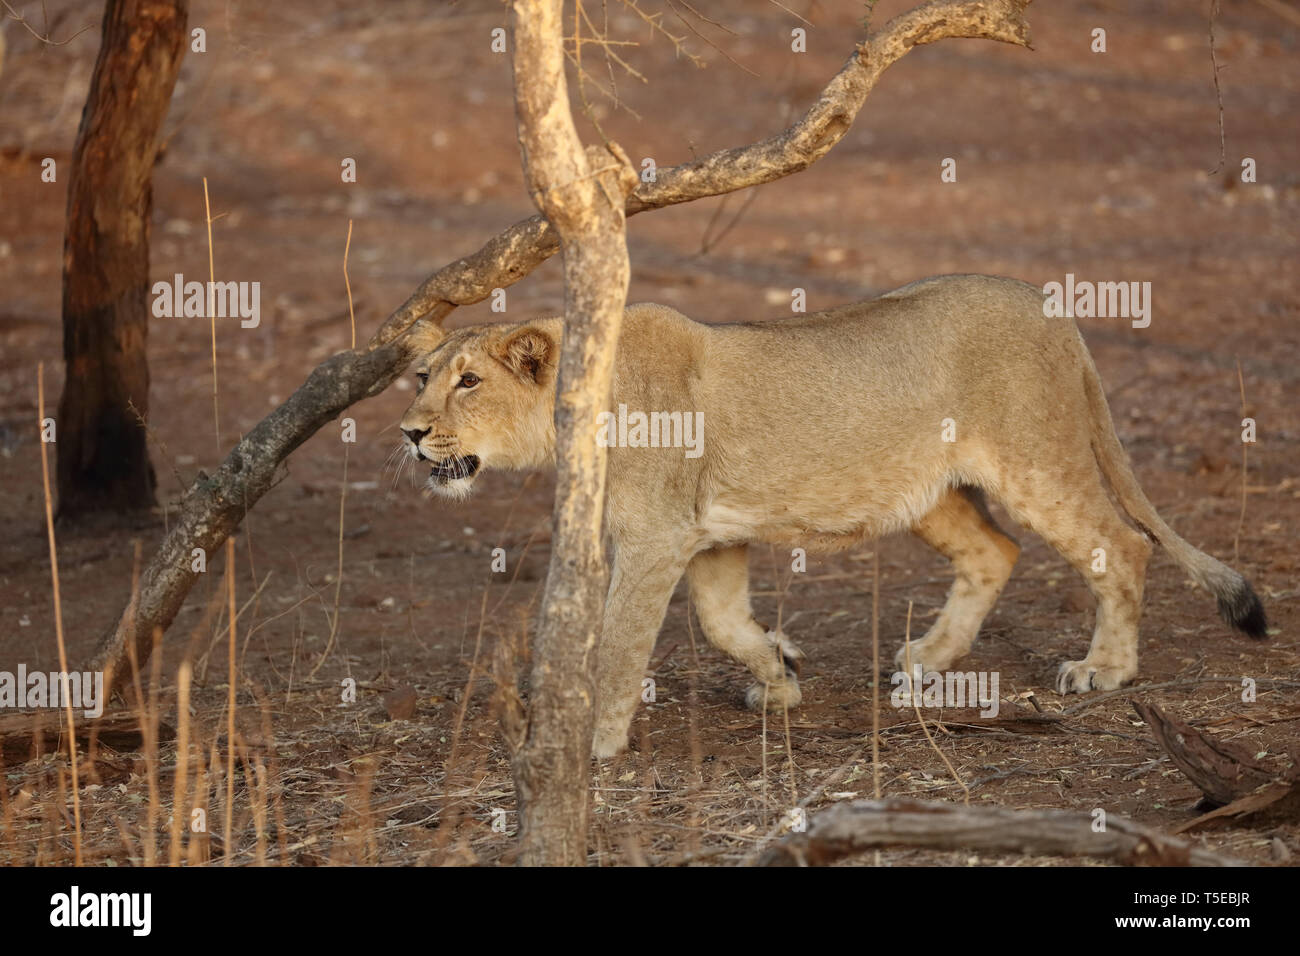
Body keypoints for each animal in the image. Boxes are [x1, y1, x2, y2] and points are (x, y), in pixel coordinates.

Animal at [399, 274, 1267, 758]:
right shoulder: (709, 536)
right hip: (925, 489)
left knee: (1122, 543)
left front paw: (590, 745)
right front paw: (780, 677)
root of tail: (1052, 307)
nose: (408, 432)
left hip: (1036, 462)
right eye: (420, 377)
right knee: (995, 551)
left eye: (469, 382)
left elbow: (618, 647)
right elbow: (722, 622)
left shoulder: (653, 538)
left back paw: (1104, 669)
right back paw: (927, 661)